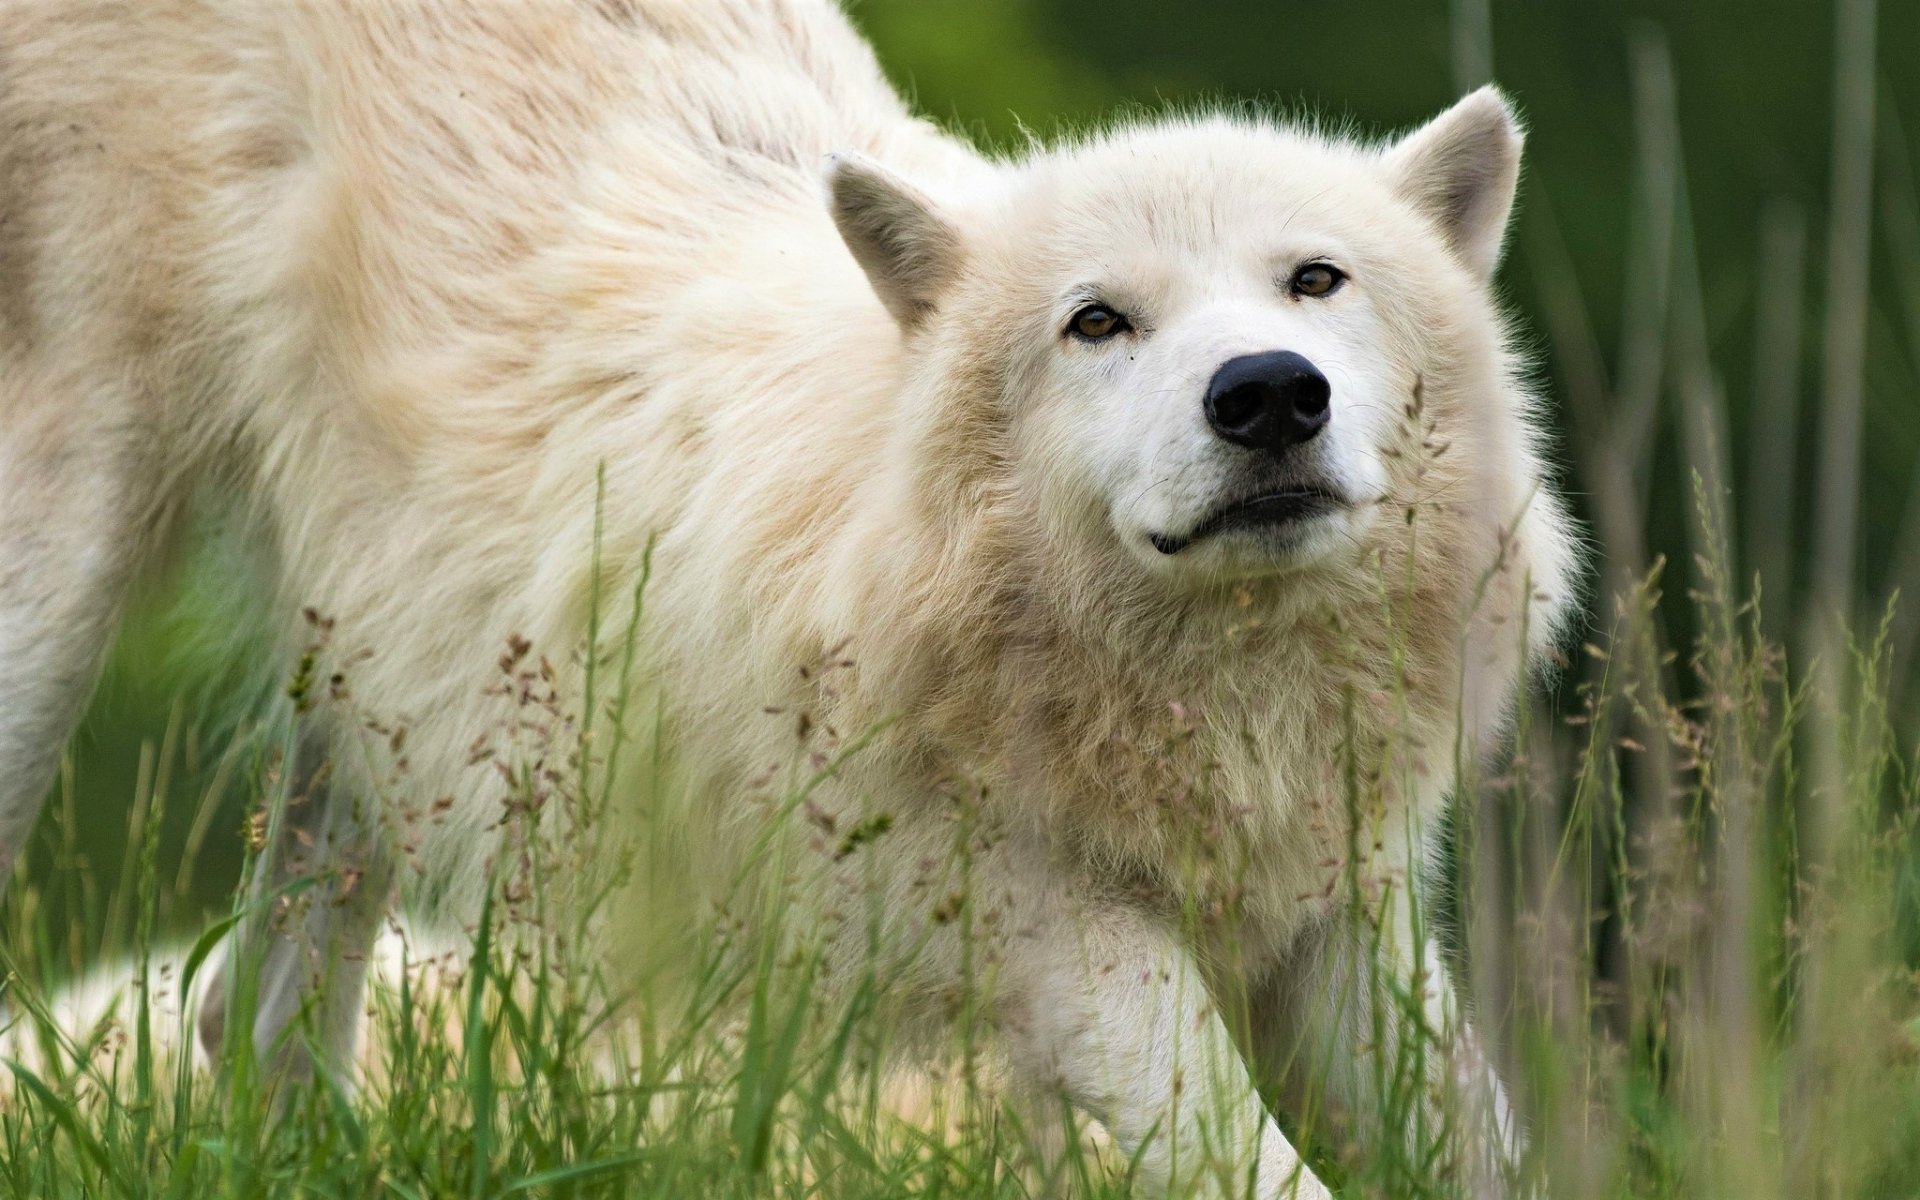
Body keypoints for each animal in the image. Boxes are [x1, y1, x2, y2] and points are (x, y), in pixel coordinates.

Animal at [0, 2, 1577, 1195]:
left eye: (1316, 281)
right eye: (1096, 322)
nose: (1266, 395)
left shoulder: (1337, 916)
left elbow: (1485, 1144)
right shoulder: (1050, 931)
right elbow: (1251, 1159)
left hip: (381, 689)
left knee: (244, 1017)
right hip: (64, 588)